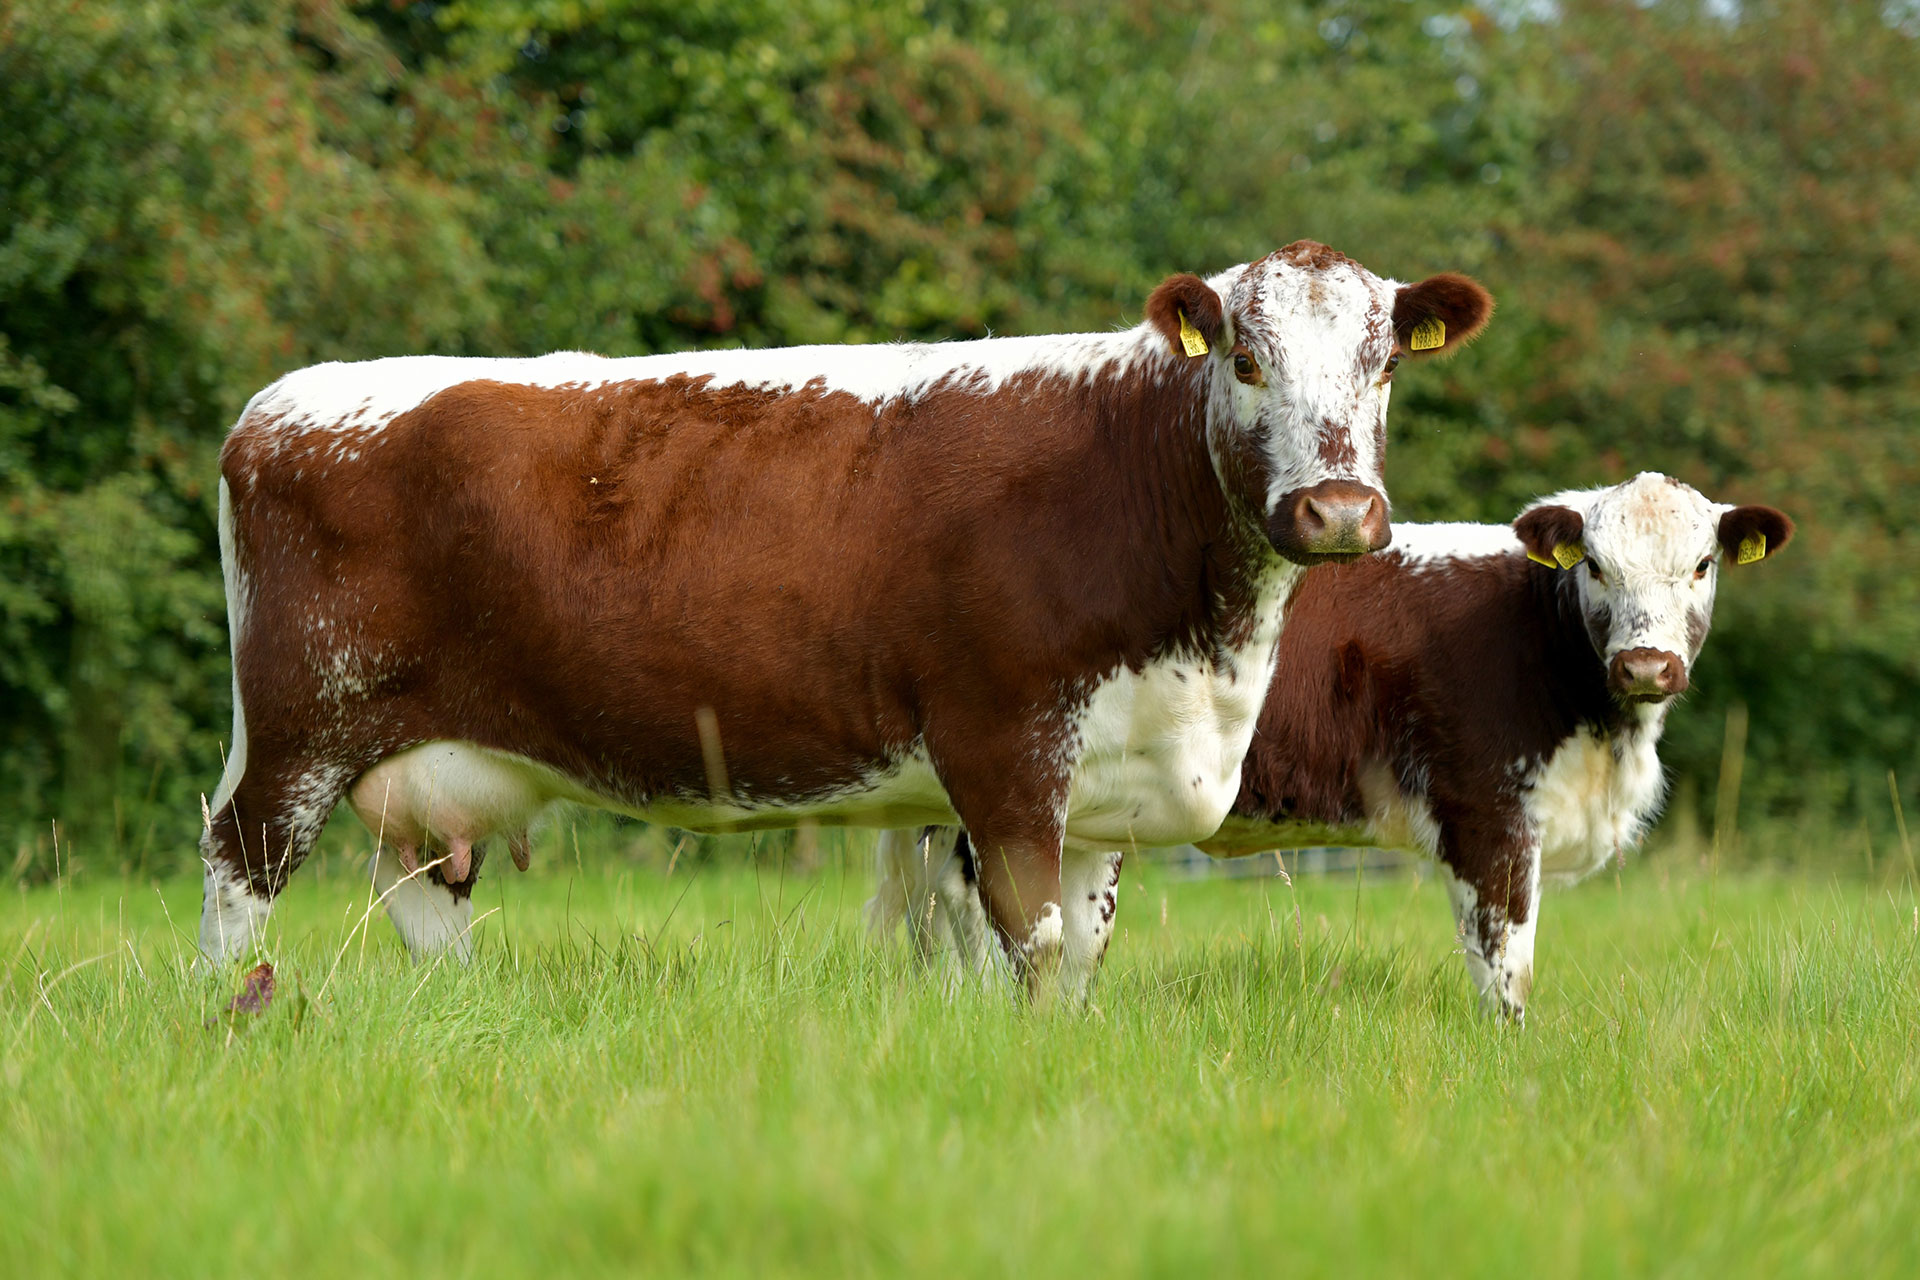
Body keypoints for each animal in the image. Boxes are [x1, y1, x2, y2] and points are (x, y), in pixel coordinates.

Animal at [196, 241, 1493, 998]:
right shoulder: (1002, 747)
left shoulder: (1112, 780)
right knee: (237, 864)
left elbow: (1084, 952)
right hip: (296, 729)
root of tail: (279, 402)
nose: (1338, 508)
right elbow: (1030, 941)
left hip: (419, 765)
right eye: (1247, 358)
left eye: (1383, 365)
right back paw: (224, 1009)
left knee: (424, 894)